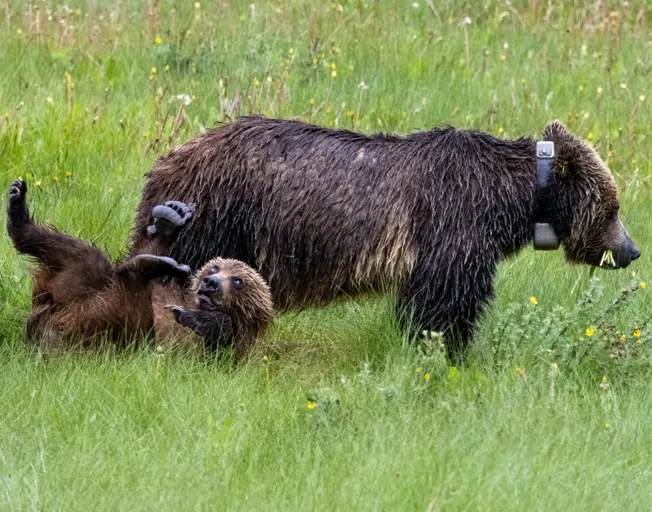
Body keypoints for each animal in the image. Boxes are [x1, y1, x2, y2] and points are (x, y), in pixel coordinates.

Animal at [6, 178, 273, 357]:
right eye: (215, 268)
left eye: (238, 280)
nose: (211, 282)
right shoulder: (168, 292)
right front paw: (171, 217)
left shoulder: (226, 344)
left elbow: (220, 335)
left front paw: (189, 316)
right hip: (72, 289)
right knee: (82, 256)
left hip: (108, 332)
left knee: (128, 293)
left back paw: (155, 266)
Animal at [129, 116, 640, 356]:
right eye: (614, 208)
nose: (631, 250)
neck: (510, 197)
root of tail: (171, 156)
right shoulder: (452, 220)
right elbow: (443, 300)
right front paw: (442, 349)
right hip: (222, 207)